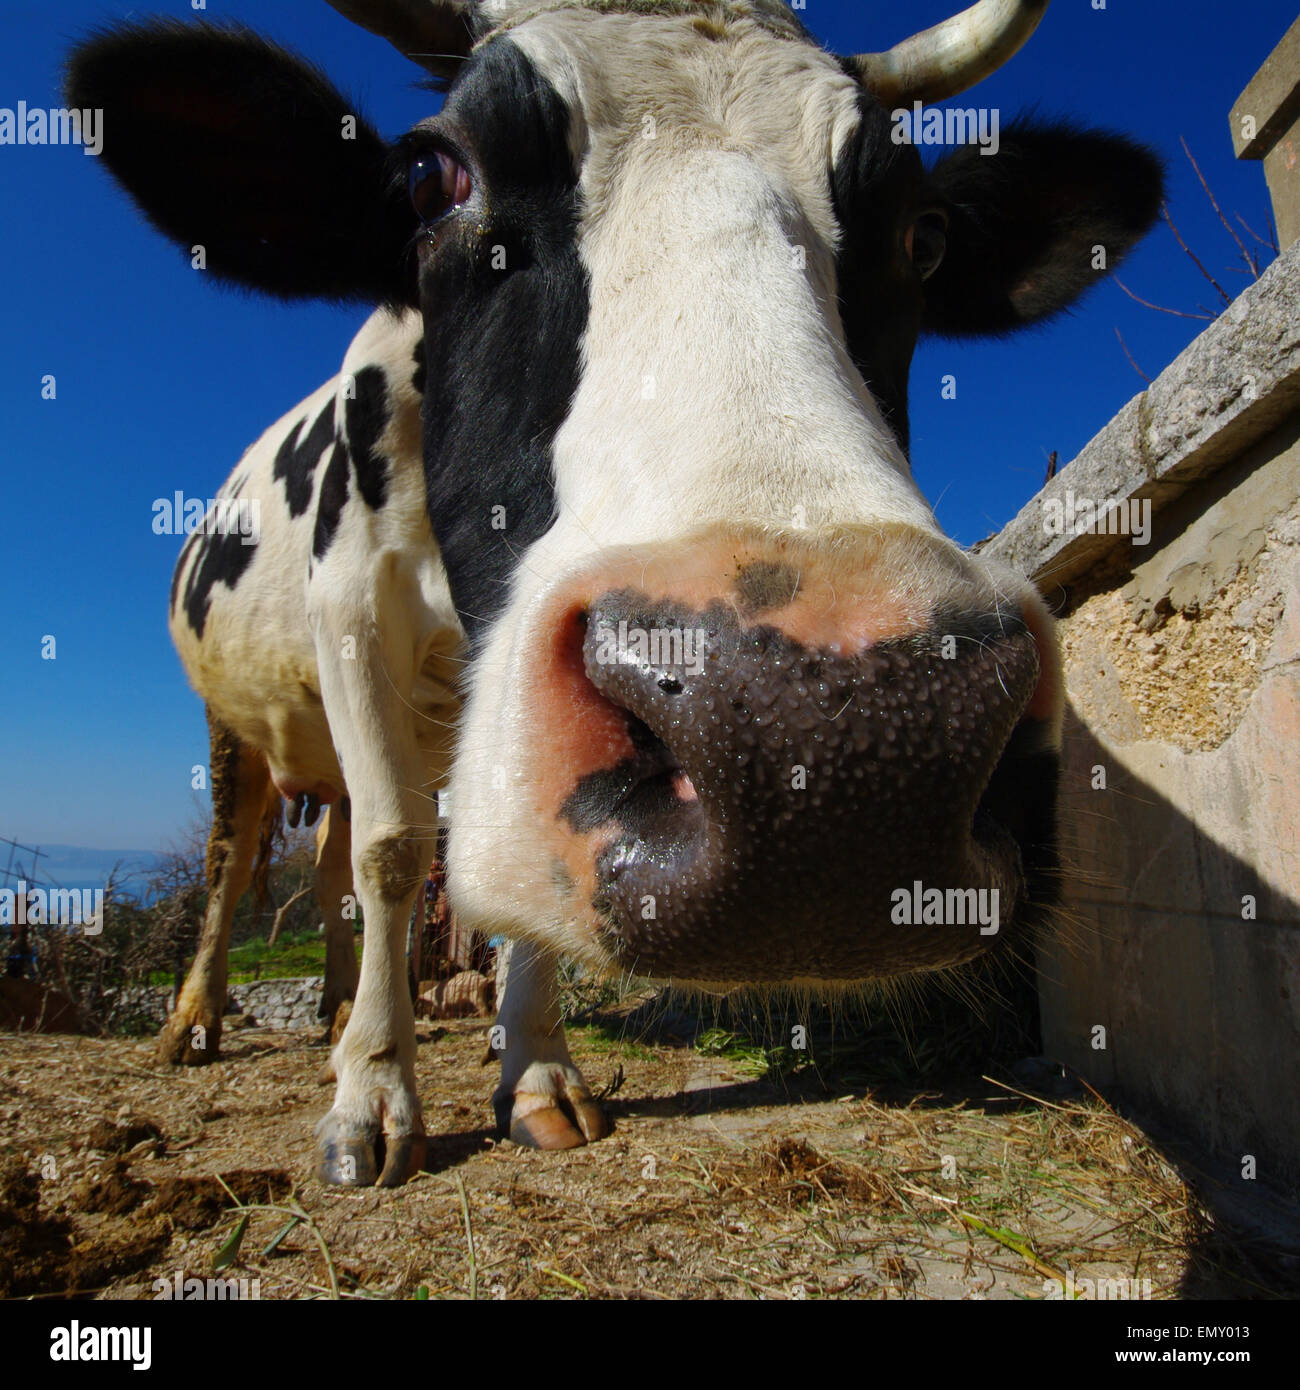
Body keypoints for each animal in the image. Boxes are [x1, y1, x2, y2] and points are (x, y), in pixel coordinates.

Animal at [68, 0, 1162, 1186]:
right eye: (431, 179)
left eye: (923, 235)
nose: (840, 745)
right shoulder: (350, 612)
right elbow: (396, 850)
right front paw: (373, 1100)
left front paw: (534, 1073)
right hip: (235, 723)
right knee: (237, 864)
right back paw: (199, 1023)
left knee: (322, 872)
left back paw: (330, 1014)